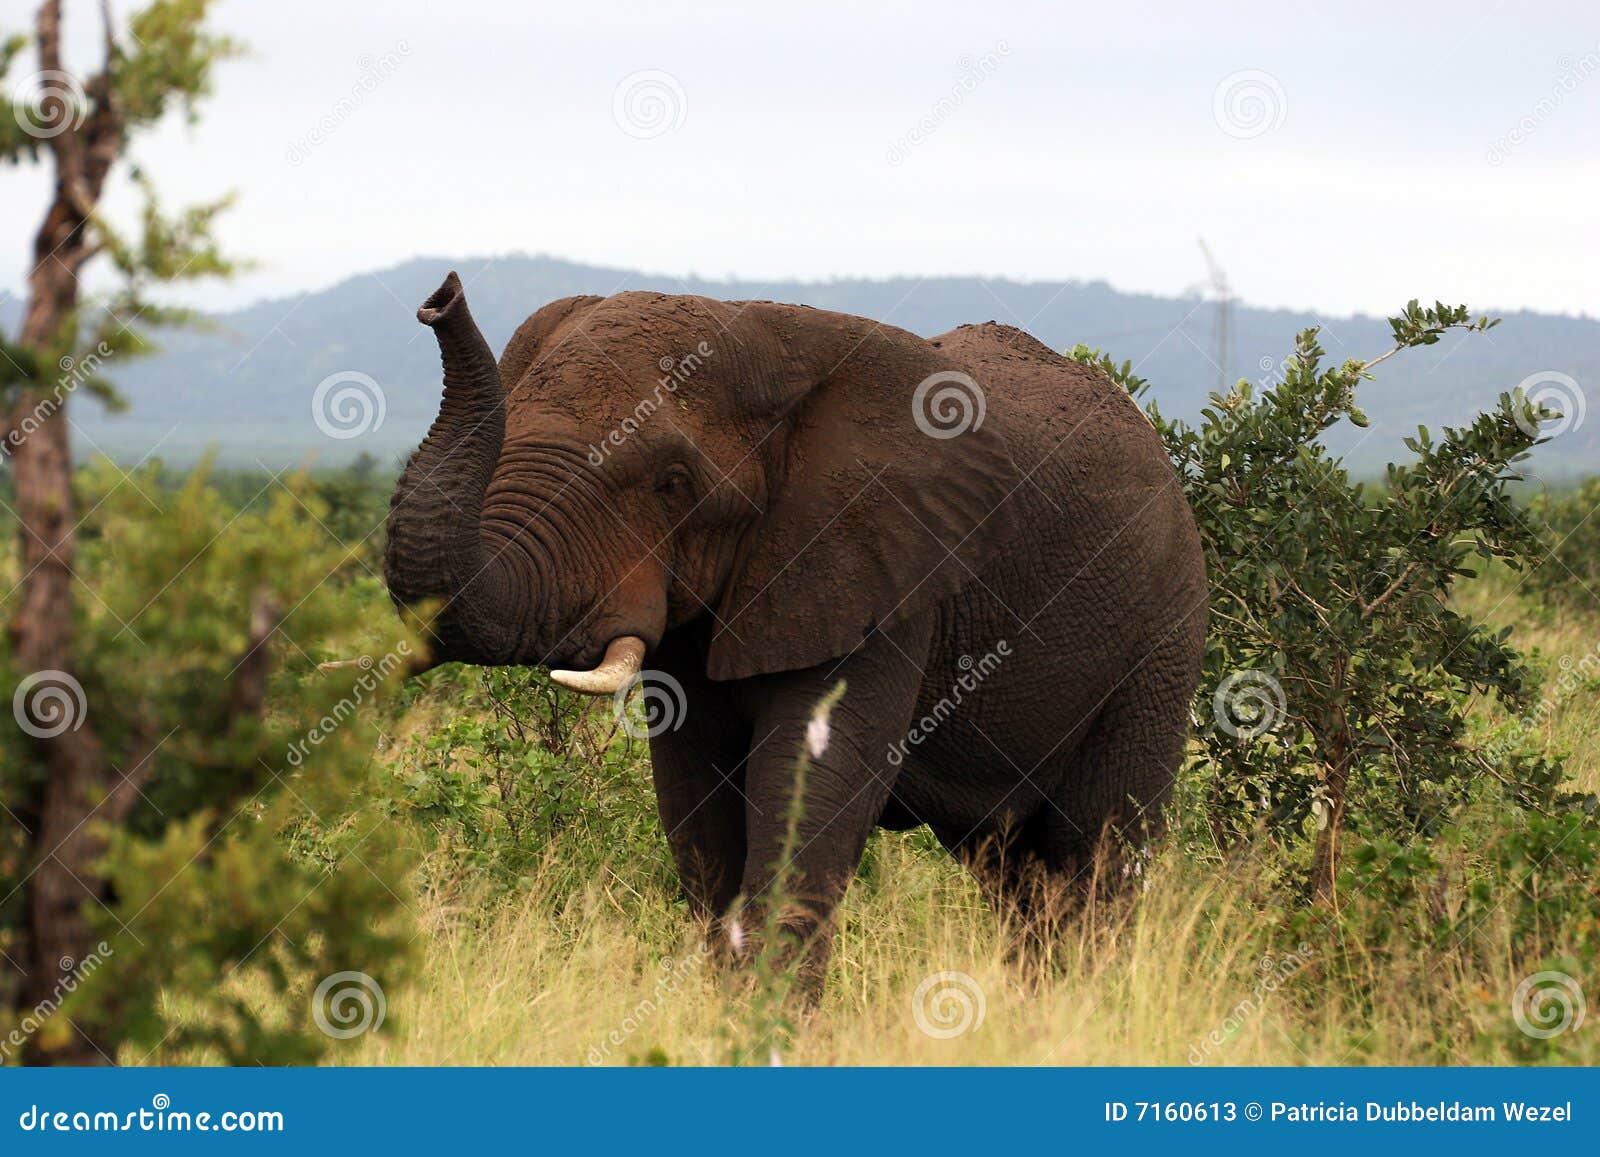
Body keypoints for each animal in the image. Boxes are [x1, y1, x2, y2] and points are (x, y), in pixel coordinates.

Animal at [384, 271, 1207, 988]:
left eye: (673, 483)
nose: (440, 297)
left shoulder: (880, 578)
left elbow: (806, 797)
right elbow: (699, 813)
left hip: (1163, 636)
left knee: (1094, 852)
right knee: (1015, 873)